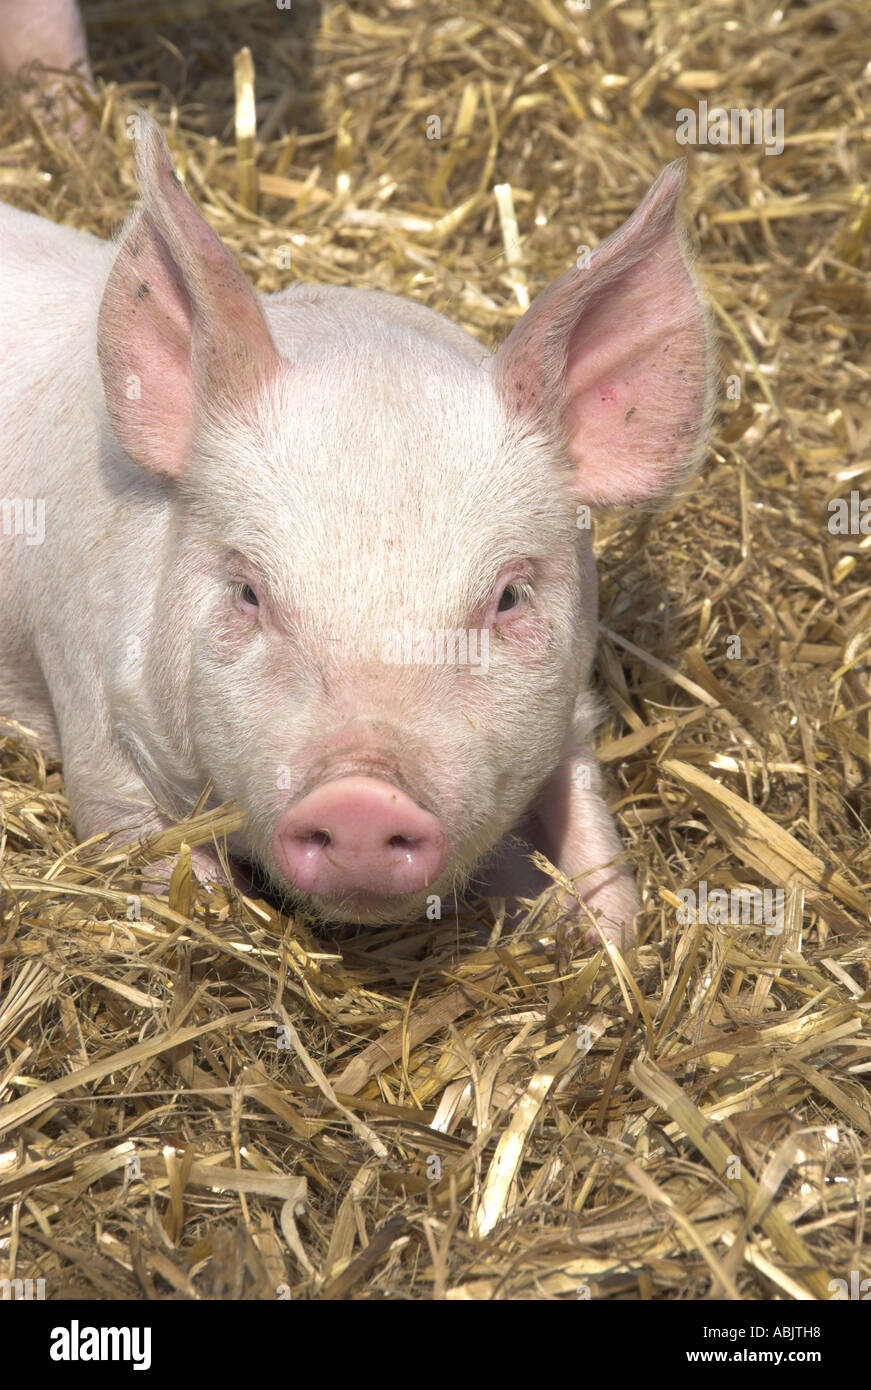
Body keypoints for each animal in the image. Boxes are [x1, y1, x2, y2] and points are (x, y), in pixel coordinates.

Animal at [0, 118, 714, 946]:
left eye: (508, 597)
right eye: (248, 591)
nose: (363, 800)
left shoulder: (572, 713)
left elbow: (594, 850)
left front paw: (596, 936)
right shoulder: (87, 698)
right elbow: (138, 839)